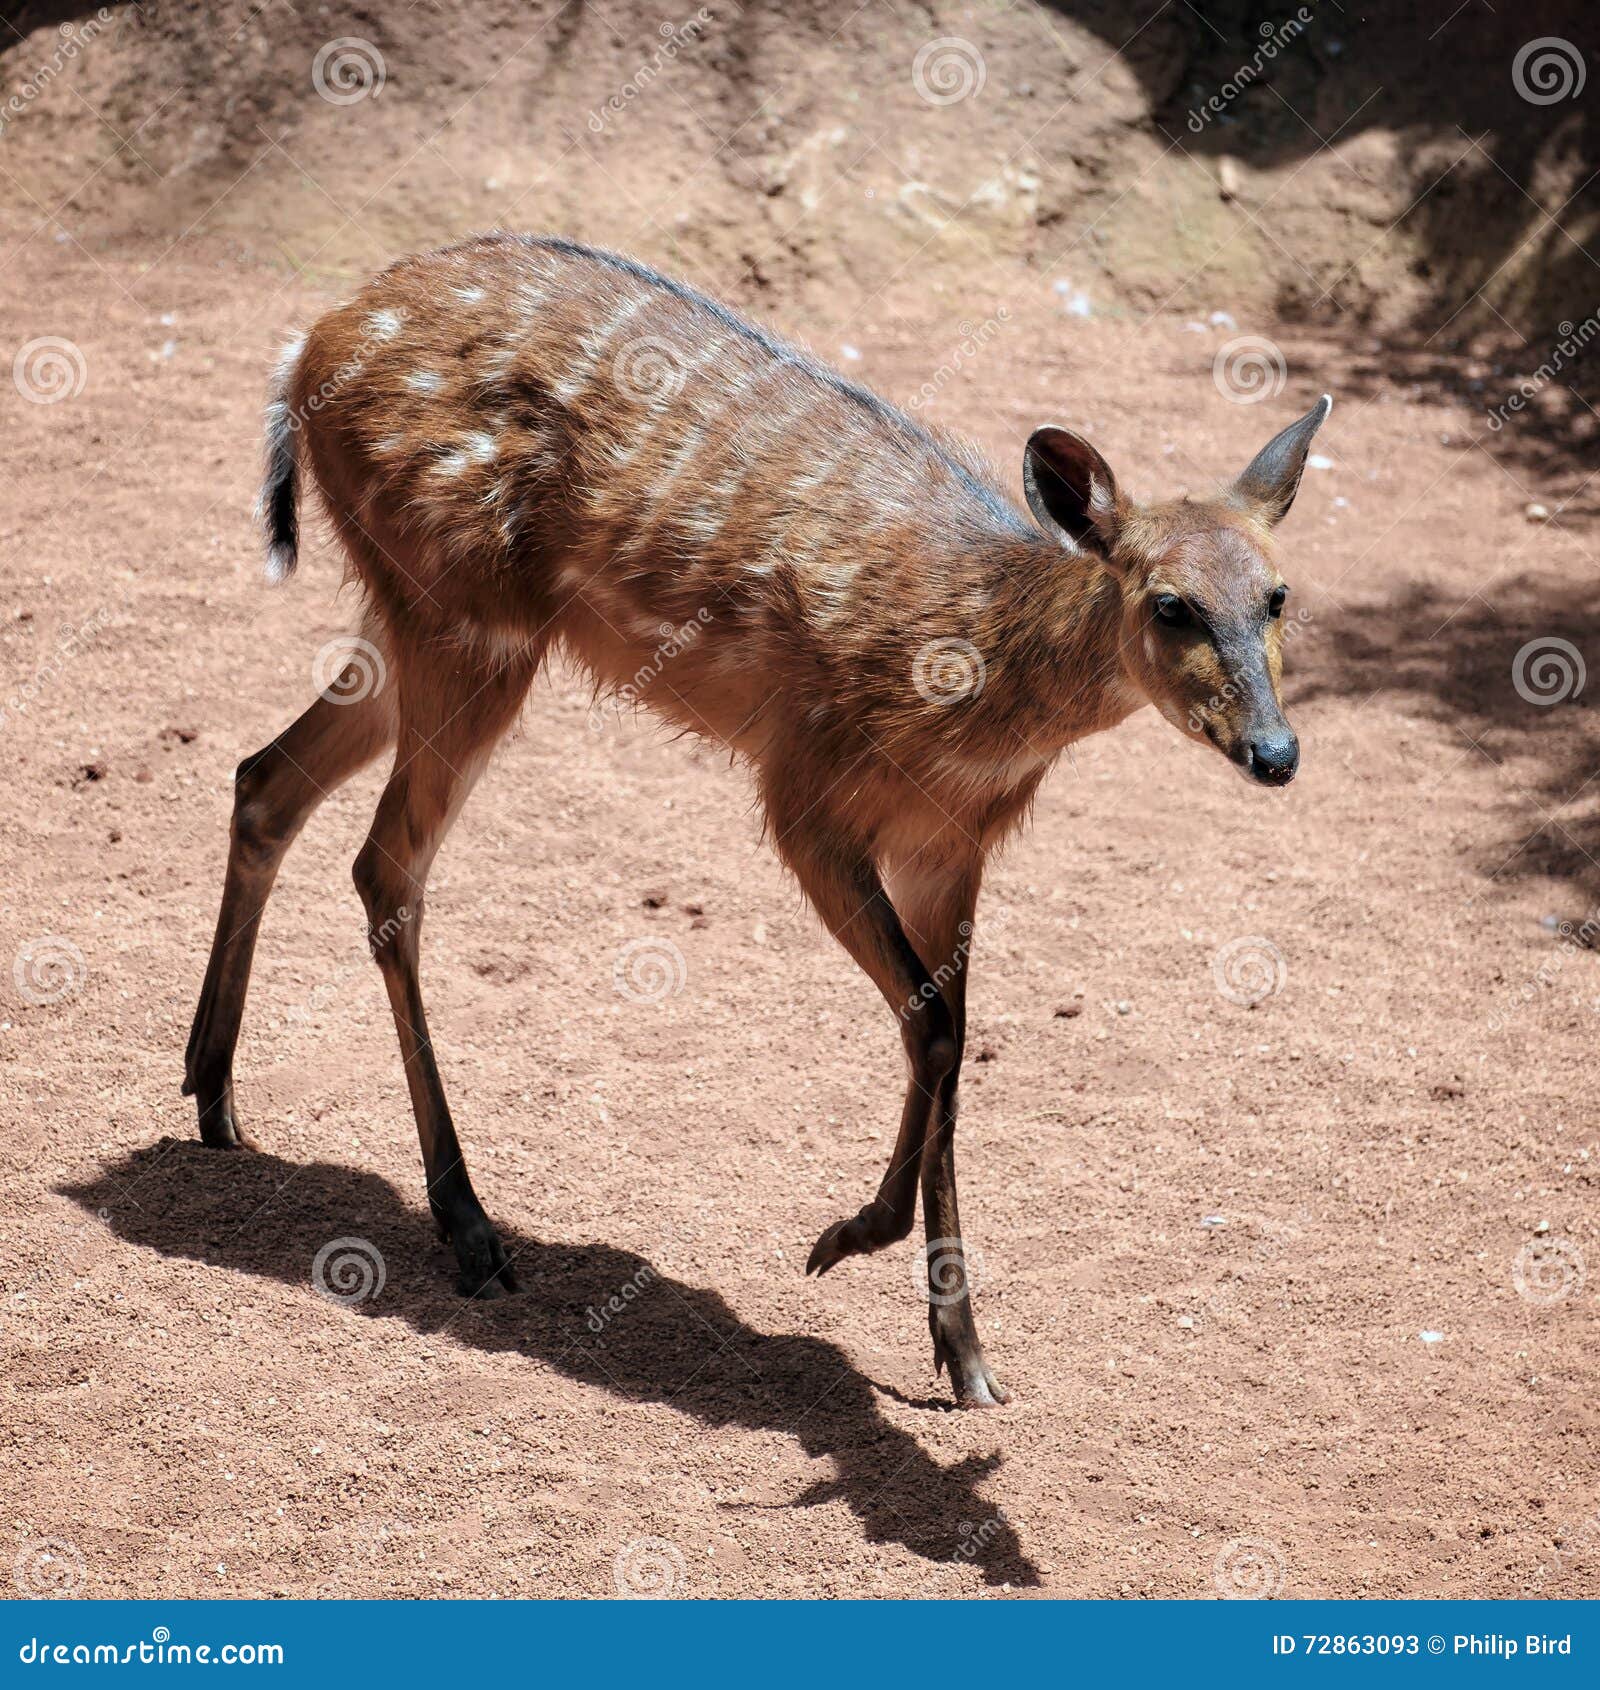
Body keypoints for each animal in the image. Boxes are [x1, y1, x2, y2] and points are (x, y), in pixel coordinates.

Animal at [184, 234, 1329, 1406]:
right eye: (1170, 604)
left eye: (1277, 594)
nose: (1275, 753)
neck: (975, 689)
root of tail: (306, 349)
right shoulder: (806, 798)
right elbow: (929, 1022)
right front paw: (848, 1241)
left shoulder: (951, 842)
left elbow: (953, 1036)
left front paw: (966, 1356)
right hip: (467, 624)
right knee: (385, 863)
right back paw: (469, 1232)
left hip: (407, 619)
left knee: (264, 778)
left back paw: (215, 1098)